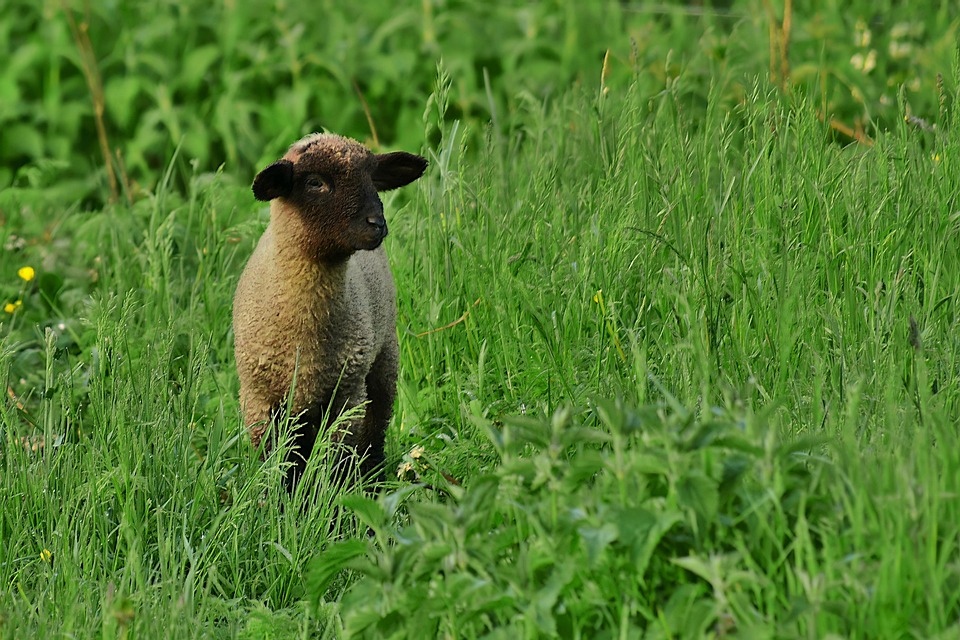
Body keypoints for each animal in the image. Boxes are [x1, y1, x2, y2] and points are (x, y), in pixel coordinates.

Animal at [233, 133, 427, 491]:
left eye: (372, 180)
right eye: (315, 182)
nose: (376, 224)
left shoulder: (347, 395)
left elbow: (333, 460)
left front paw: (332, 498)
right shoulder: (258, 399)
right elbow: (273, 463)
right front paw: (277, 501)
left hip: (383, 362)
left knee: (375, 430)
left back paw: (373, 480)